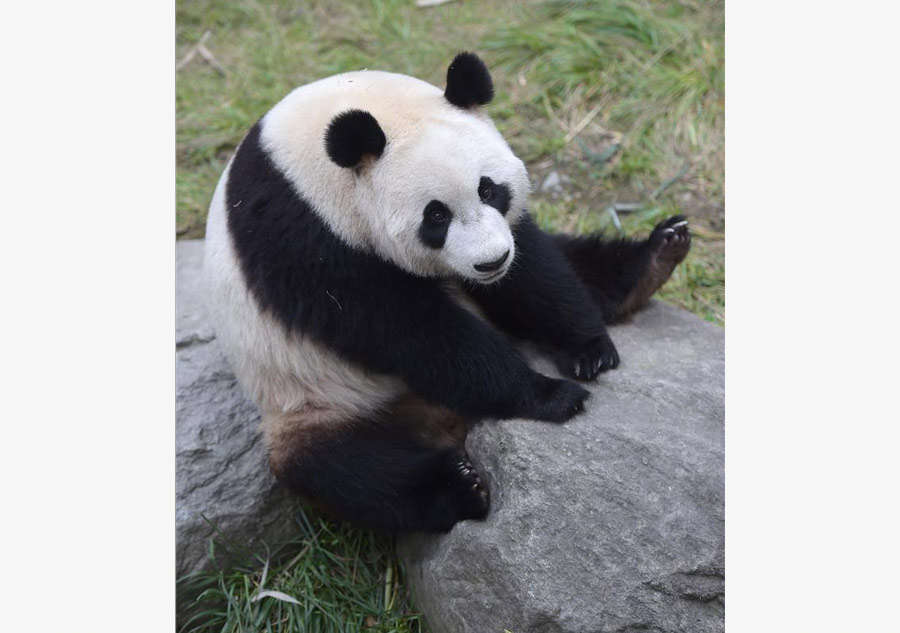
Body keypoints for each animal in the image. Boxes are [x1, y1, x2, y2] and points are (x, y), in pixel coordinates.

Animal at [204, 52, 691, 533]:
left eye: (489, 189)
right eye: (435, 216)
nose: (491, 263)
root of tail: (441, 421)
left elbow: (535, 267)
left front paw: (588, 348)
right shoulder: (302, 238)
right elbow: (409, 330)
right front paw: (547, 393)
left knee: (573, 254)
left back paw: (655, 258)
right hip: (313, 397)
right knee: (350, 471)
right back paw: (461, 487)